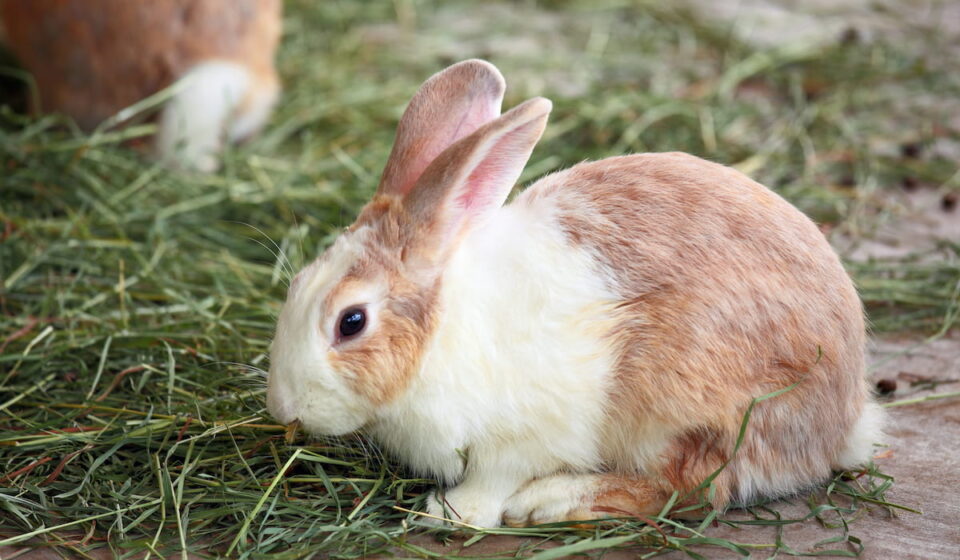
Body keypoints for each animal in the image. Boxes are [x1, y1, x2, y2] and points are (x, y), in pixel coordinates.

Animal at [265, 59, 882, 528]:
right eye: (295, 286)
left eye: (351, 322)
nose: (282, 408)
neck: (442, 331)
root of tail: (840, 421)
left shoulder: (520, 437)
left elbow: (493, 480)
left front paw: (448, 512)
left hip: (687, 410)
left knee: (691, 489)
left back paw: (551, 502)